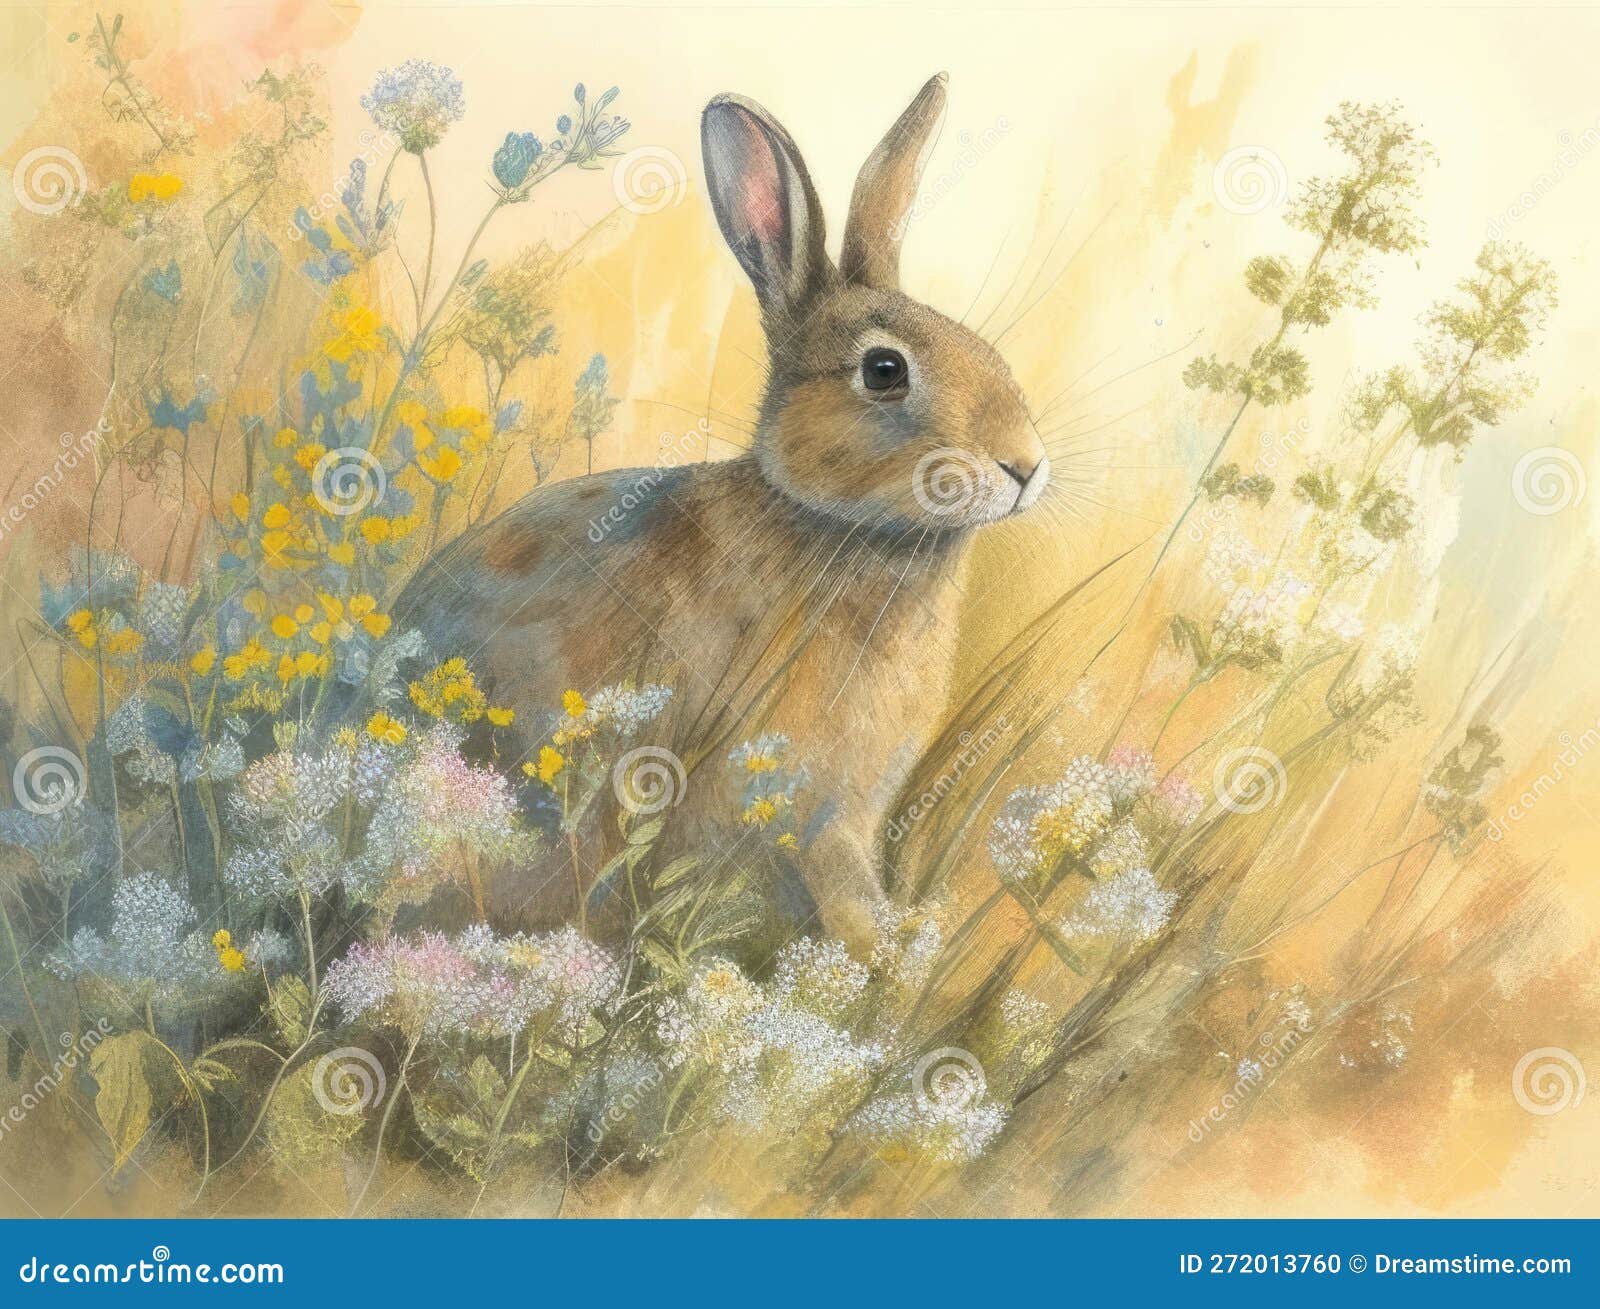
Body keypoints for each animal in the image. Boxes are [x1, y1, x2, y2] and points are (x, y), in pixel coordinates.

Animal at [396, 73, 1050, 955]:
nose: (1024, 465)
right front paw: (887, 946)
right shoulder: (809, 806)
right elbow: (839, 886)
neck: (832, 523)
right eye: (884, 370)